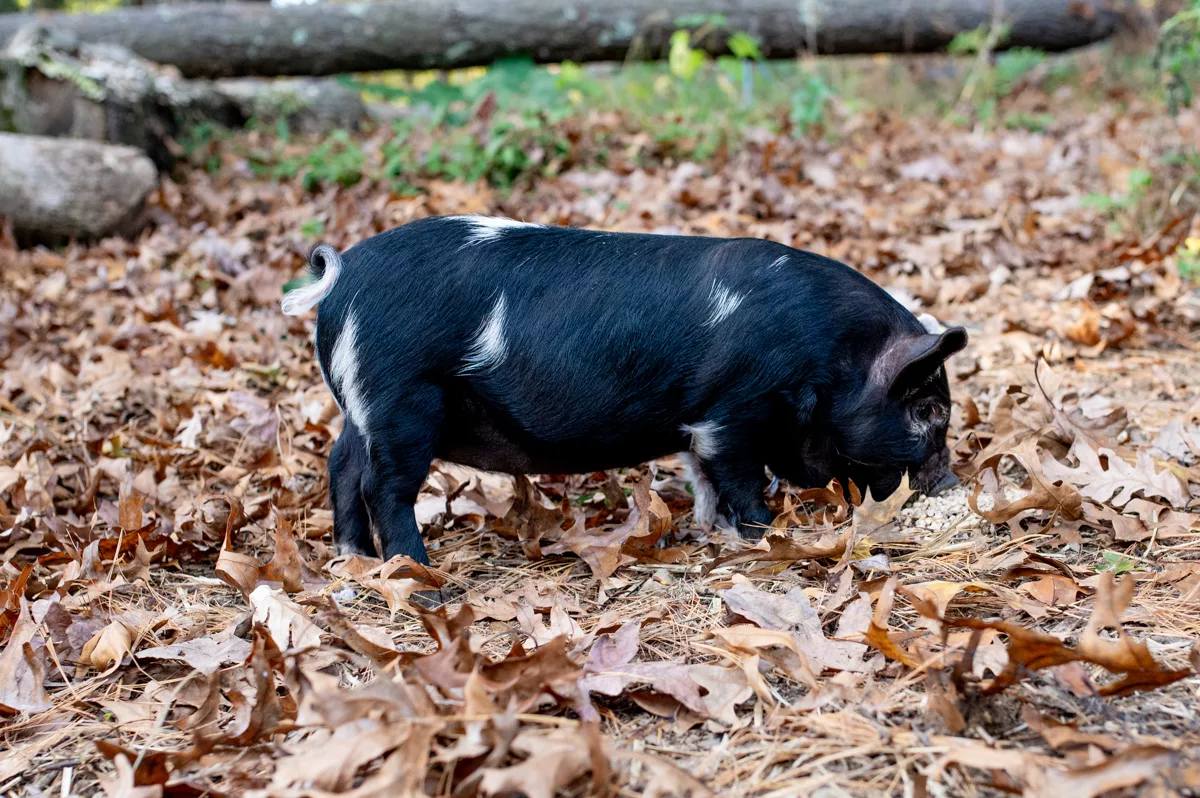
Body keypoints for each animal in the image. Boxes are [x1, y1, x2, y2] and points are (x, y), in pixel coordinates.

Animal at [282, 216, 967, 564]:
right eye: (927, 408)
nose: (951, 482)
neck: (828, 355)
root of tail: (342, 276)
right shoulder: (734, 408)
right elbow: (739, 475)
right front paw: (763, 532)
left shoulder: (701, 423)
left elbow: (705, 476)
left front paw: (710, 530)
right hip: (401, 397)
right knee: (383, 486)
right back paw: (418, 571)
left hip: (363, 404)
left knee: (341, 464)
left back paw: (352, 556)